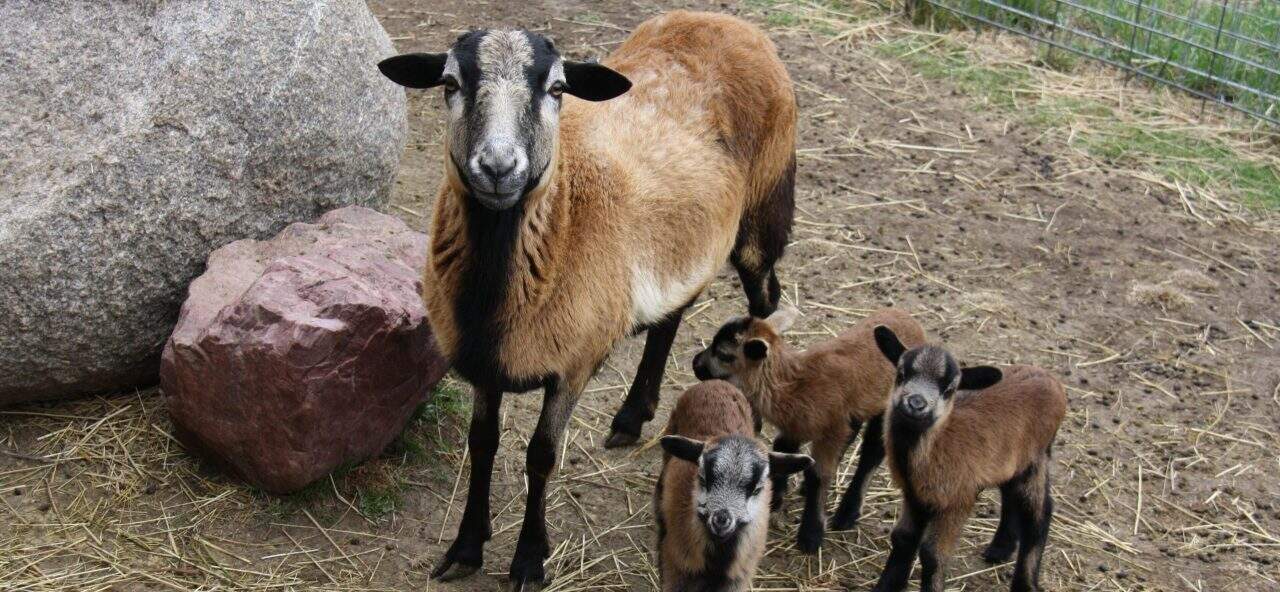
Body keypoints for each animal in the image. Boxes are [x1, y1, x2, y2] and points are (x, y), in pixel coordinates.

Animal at [377, 11, 796, 590]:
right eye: (449, 84)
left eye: (557, 88)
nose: (498, 167)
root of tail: (725, 20)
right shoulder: (484, 360)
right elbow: (482, 445)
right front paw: (466, 547)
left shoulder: (572, 366)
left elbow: (541, 456)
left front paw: (529, 559)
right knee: (672, 316)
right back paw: (632, 416)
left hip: (763, 214)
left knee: (765, 299)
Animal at [656, 380, 813, 592]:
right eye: (702, 478)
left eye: (757, 489)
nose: (721, 520)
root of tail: (716, 383)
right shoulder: (675, 569)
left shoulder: (738, 580)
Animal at [691, 307, 927, 553]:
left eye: (724, 355)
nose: (695, 364)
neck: (797, 384)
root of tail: (908, 318)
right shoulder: (797, 426)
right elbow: (783, 448)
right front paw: (775, 497)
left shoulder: (831, 430)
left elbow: (818, 475)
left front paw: (811, 535)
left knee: (871, 453)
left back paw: (847, 514)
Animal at [870, 326, 1067, 592]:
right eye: (901, 374)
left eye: (949, 390)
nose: (916, 403)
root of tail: (1051, 380)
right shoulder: (915, 496)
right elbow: (902, 538)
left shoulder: (958, 500)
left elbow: (933, 555)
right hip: (1011, 462)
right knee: (1010, 496)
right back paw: (999, 549)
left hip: (1034, 459)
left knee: (1039, 513)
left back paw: (1025, 583)